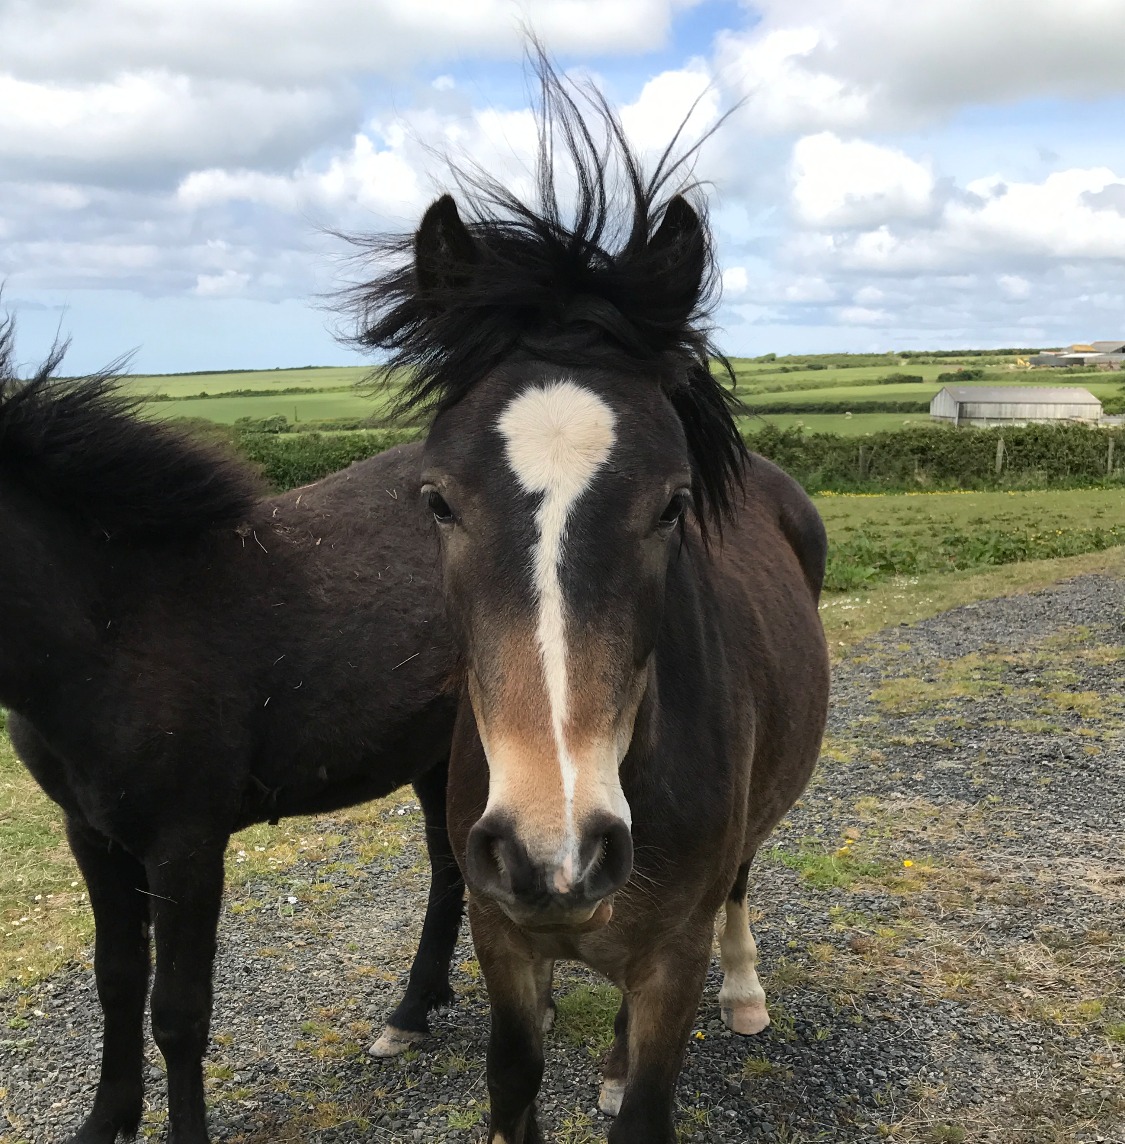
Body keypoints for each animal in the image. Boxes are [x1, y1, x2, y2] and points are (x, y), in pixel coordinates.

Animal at [0, 324, 463, 1144]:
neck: (110, 627)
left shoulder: (185, 844)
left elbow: (178, 1012)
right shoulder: (91, 834)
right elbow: (117, 982)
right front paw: (106, 1120)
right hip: (436, 754)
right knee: (450, 871)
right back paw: (413, 1011)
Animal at [342, 58, 831, 1143]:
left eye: (674, 503)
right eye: (437, 500)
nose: (552, 854)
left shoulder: (670, 958)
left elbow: (646, 1096)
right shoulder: (501, 940)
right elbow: (512, 1081)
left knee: (741, 883)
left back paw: (742, 995)